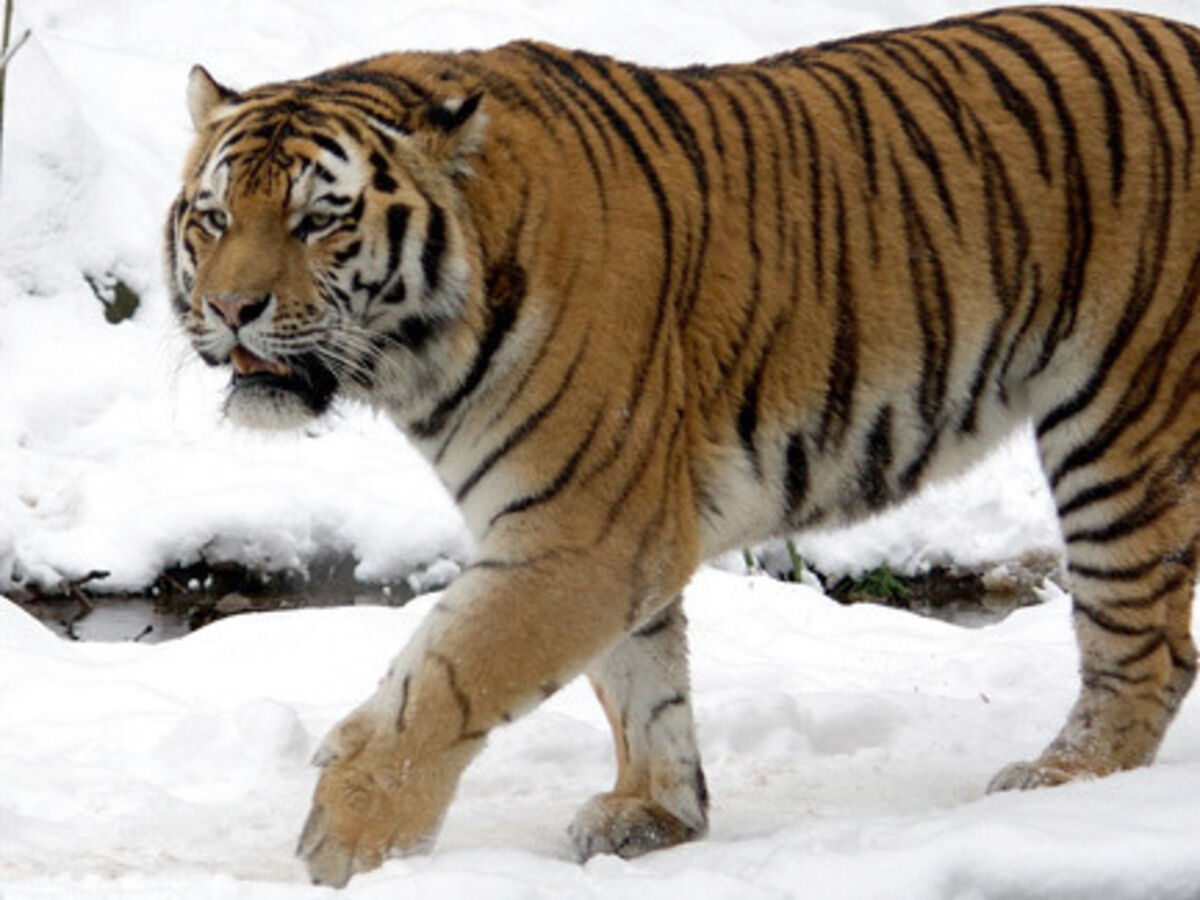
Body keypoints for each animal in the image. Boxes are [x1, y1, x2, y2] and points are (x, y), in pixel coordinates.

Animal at [167, 4, 1200, 886]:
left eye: (319, 220)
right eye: (213, 218)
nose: (230, 308)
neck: (422, 355)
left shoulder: (585, 531)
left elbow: (453, 673)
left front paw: (352, 838)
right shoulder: (603, 529)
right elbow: (639, 680)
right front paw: (655, 816)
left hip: (1119, 427)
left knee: (1143, 646)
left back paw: (1065, 782)